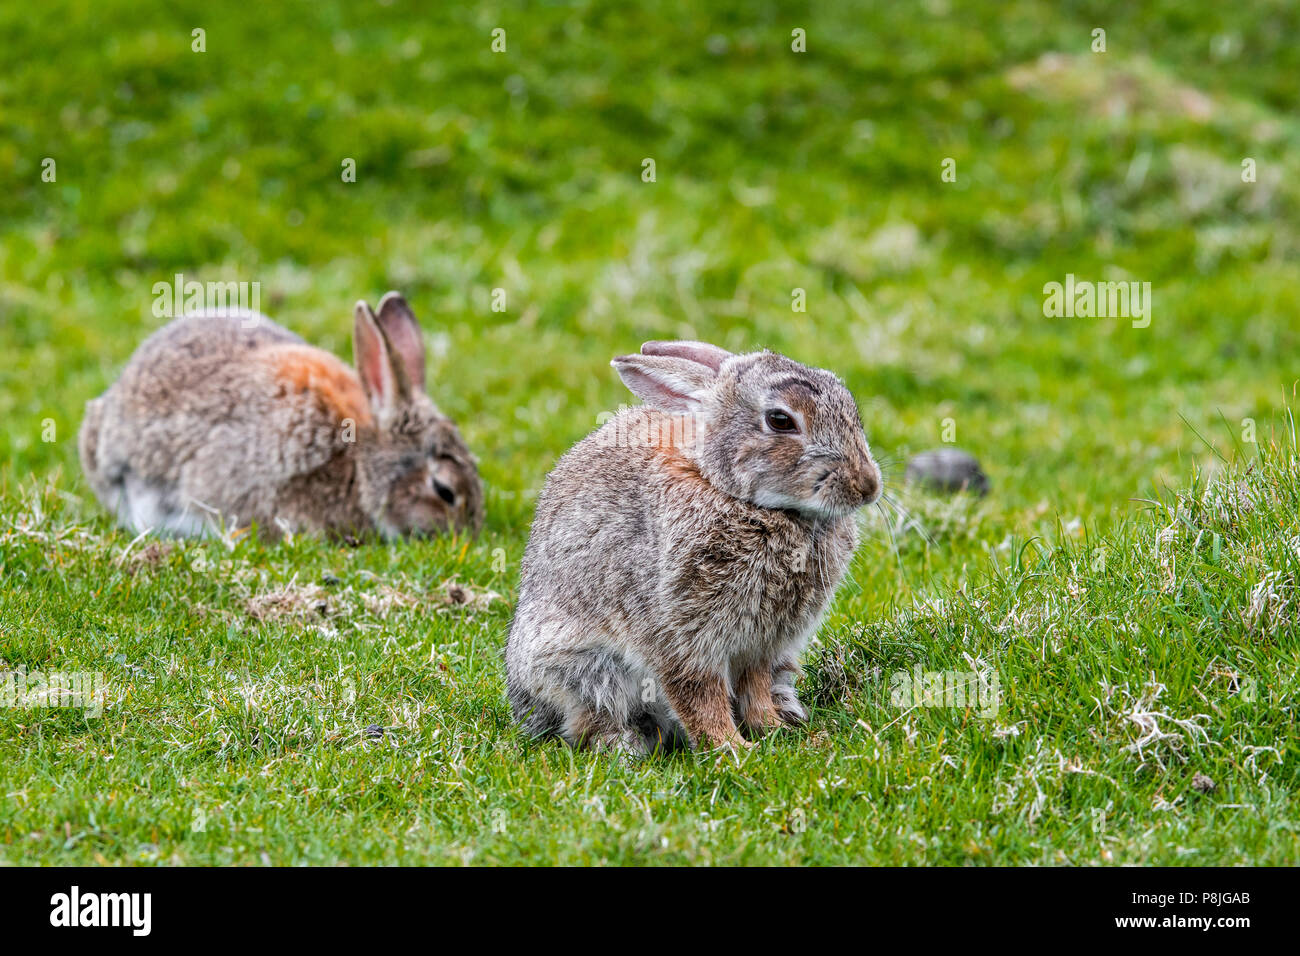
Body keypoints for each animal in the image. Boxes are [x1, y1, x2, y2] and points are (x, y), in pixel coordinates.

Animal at [505, 340, 882, 753]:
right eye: (780, 420)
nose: (868, 486)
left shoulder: (760, 645)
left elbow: (754, 687)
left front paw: (769, 730)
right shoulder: (680, 633)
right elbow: (698, 694)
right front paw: (731, 747)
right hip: (582, 668)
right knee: (589, 718)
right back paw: (625, 746)